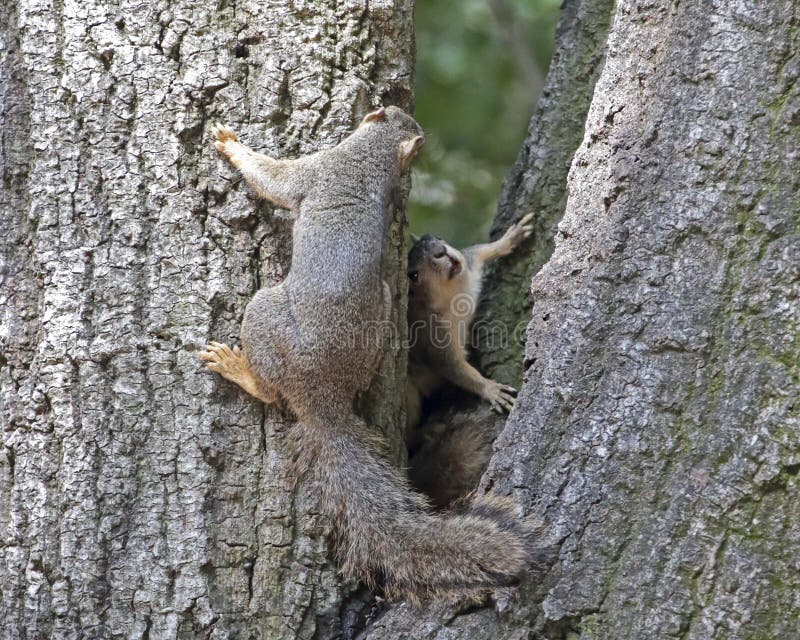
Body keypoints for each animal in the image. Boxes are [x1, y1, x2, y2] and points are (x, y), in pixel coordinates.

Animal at [405, 214, 534, 440]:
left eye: (436, 237)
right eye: (413, 276)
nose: (441, 251)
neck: (454, 293)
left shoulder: (469, 264)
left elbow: (478, 251)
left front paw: (510, 238)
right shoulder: (431, 333)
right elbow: (453, 367)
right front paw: (491, 389)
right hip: (409, 393)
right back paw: (424, 432)